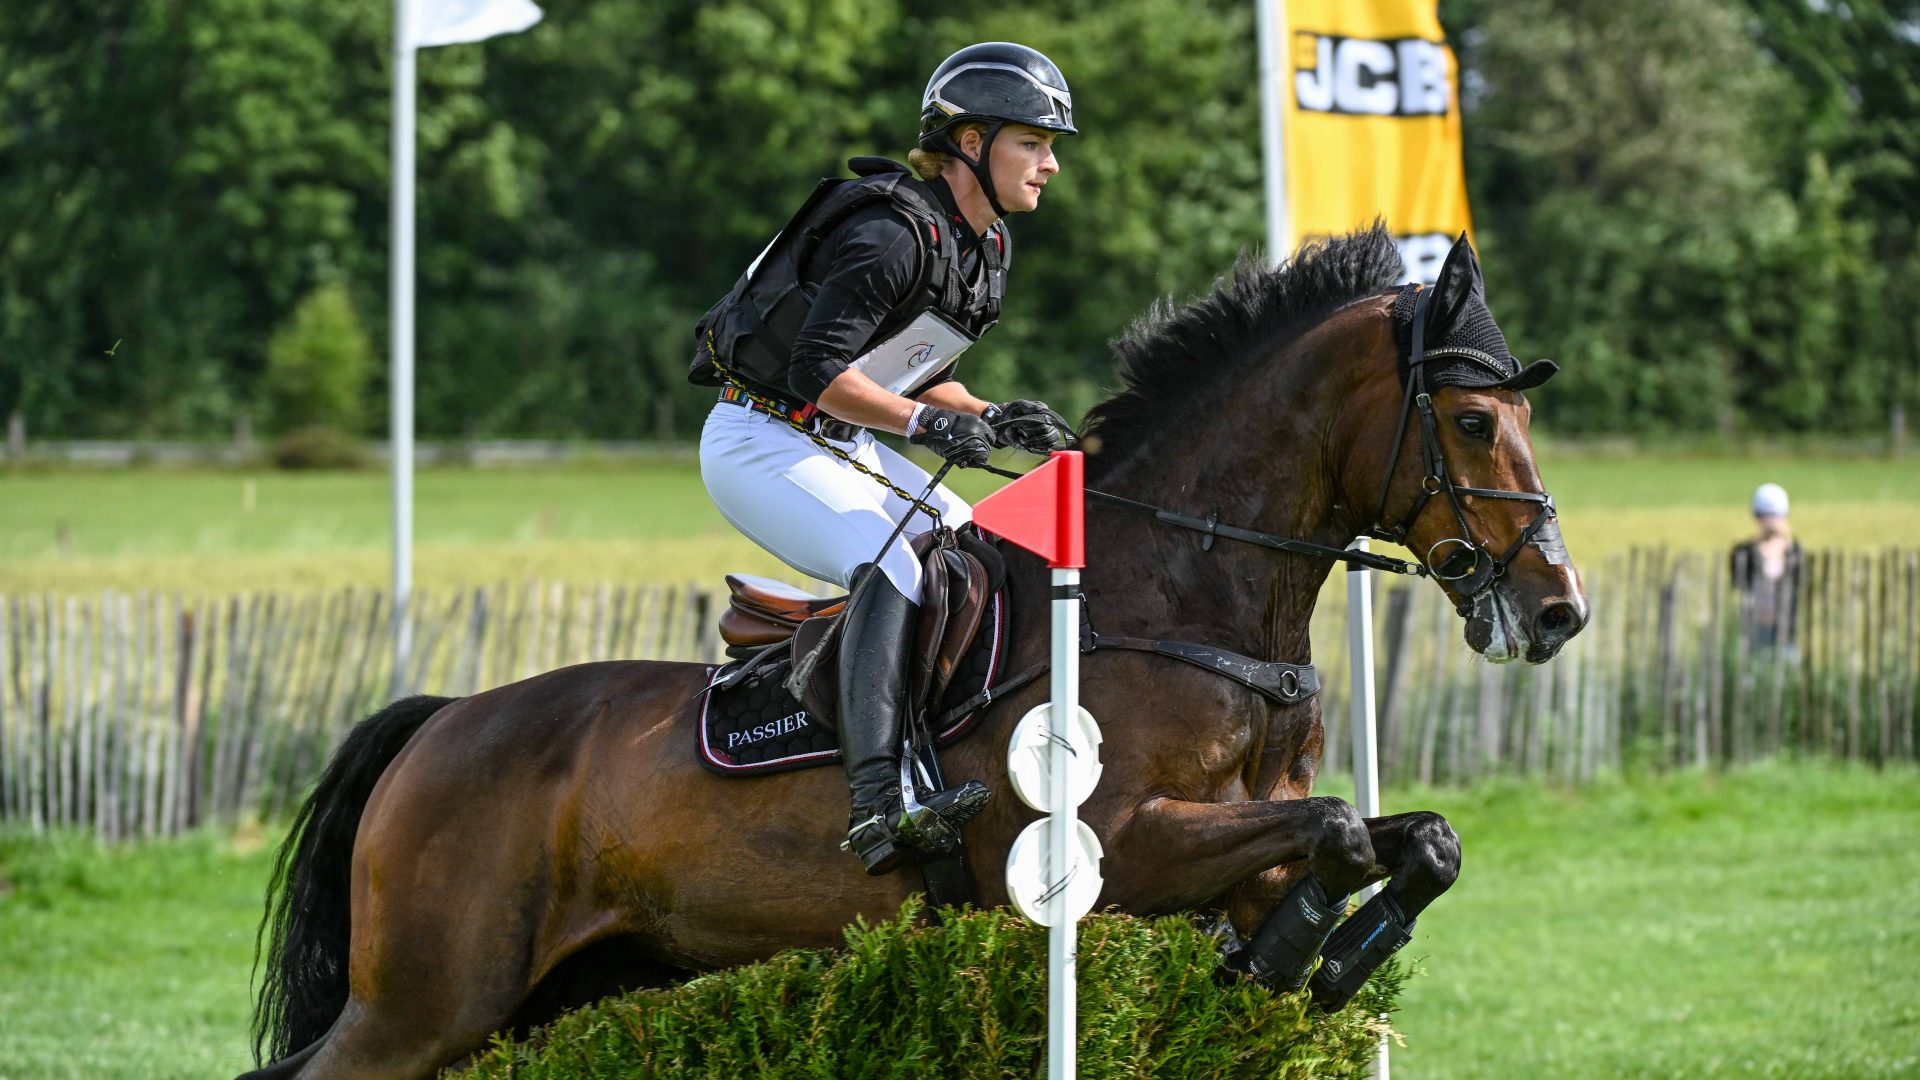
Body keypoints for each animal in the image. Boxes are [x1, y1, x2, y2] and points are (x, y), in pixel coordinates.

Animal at [243, 225, 1588, 1078]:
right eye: (1475, 420)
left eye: (1525, 412)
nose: (1557, 609)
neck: (1187, 595)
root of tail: (442, 720)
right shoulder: (1116, 849)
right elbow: (1341, 830)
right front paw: (1300, 955)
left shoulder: (1237, 839)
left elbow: (1408, 839)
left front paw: (1316, 956)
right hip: (427, 1002)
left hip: (539, 994)